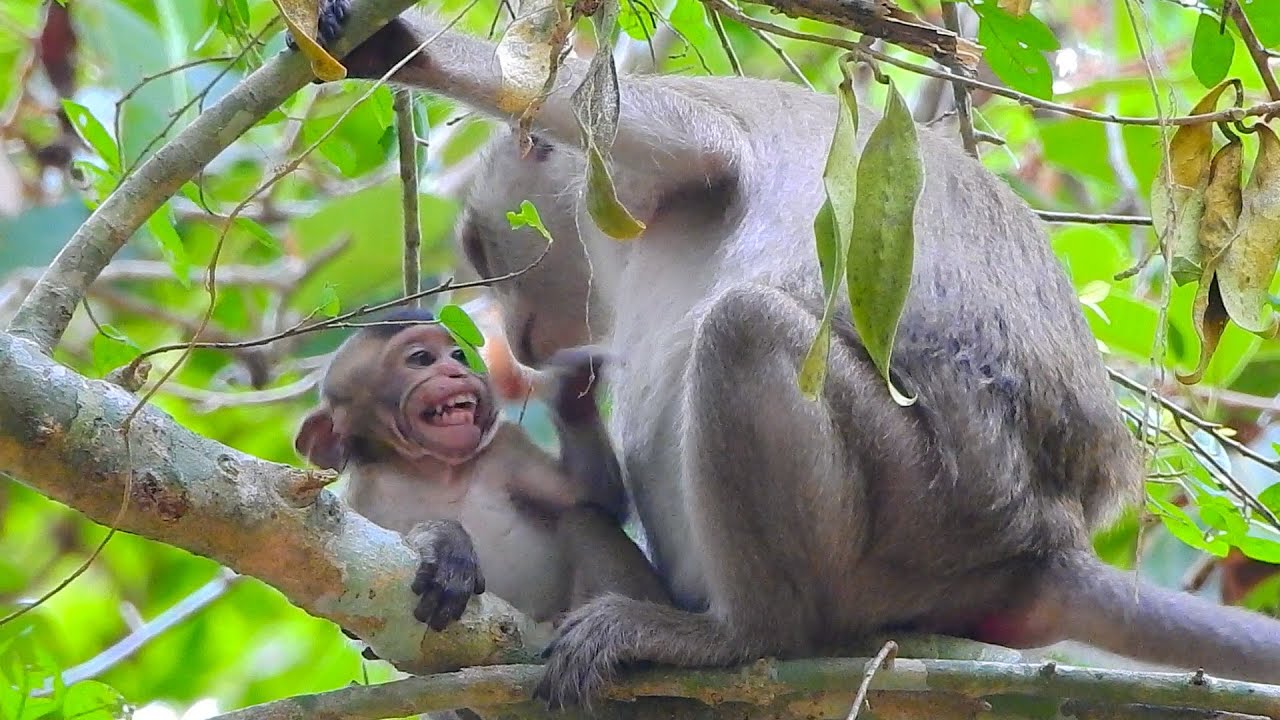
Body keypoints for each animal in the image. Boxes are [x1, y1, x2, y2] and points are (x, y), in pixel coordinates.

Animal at [293, 307, 668, 633]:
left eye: (459, 355)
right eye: (422, 358)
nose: (457, 370)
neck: (438, 471)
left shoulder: (506, 447)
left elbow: (596, 497)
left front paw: (572, 389)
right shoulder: (364, 493)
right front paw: (446, 541)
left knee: (586, 519)